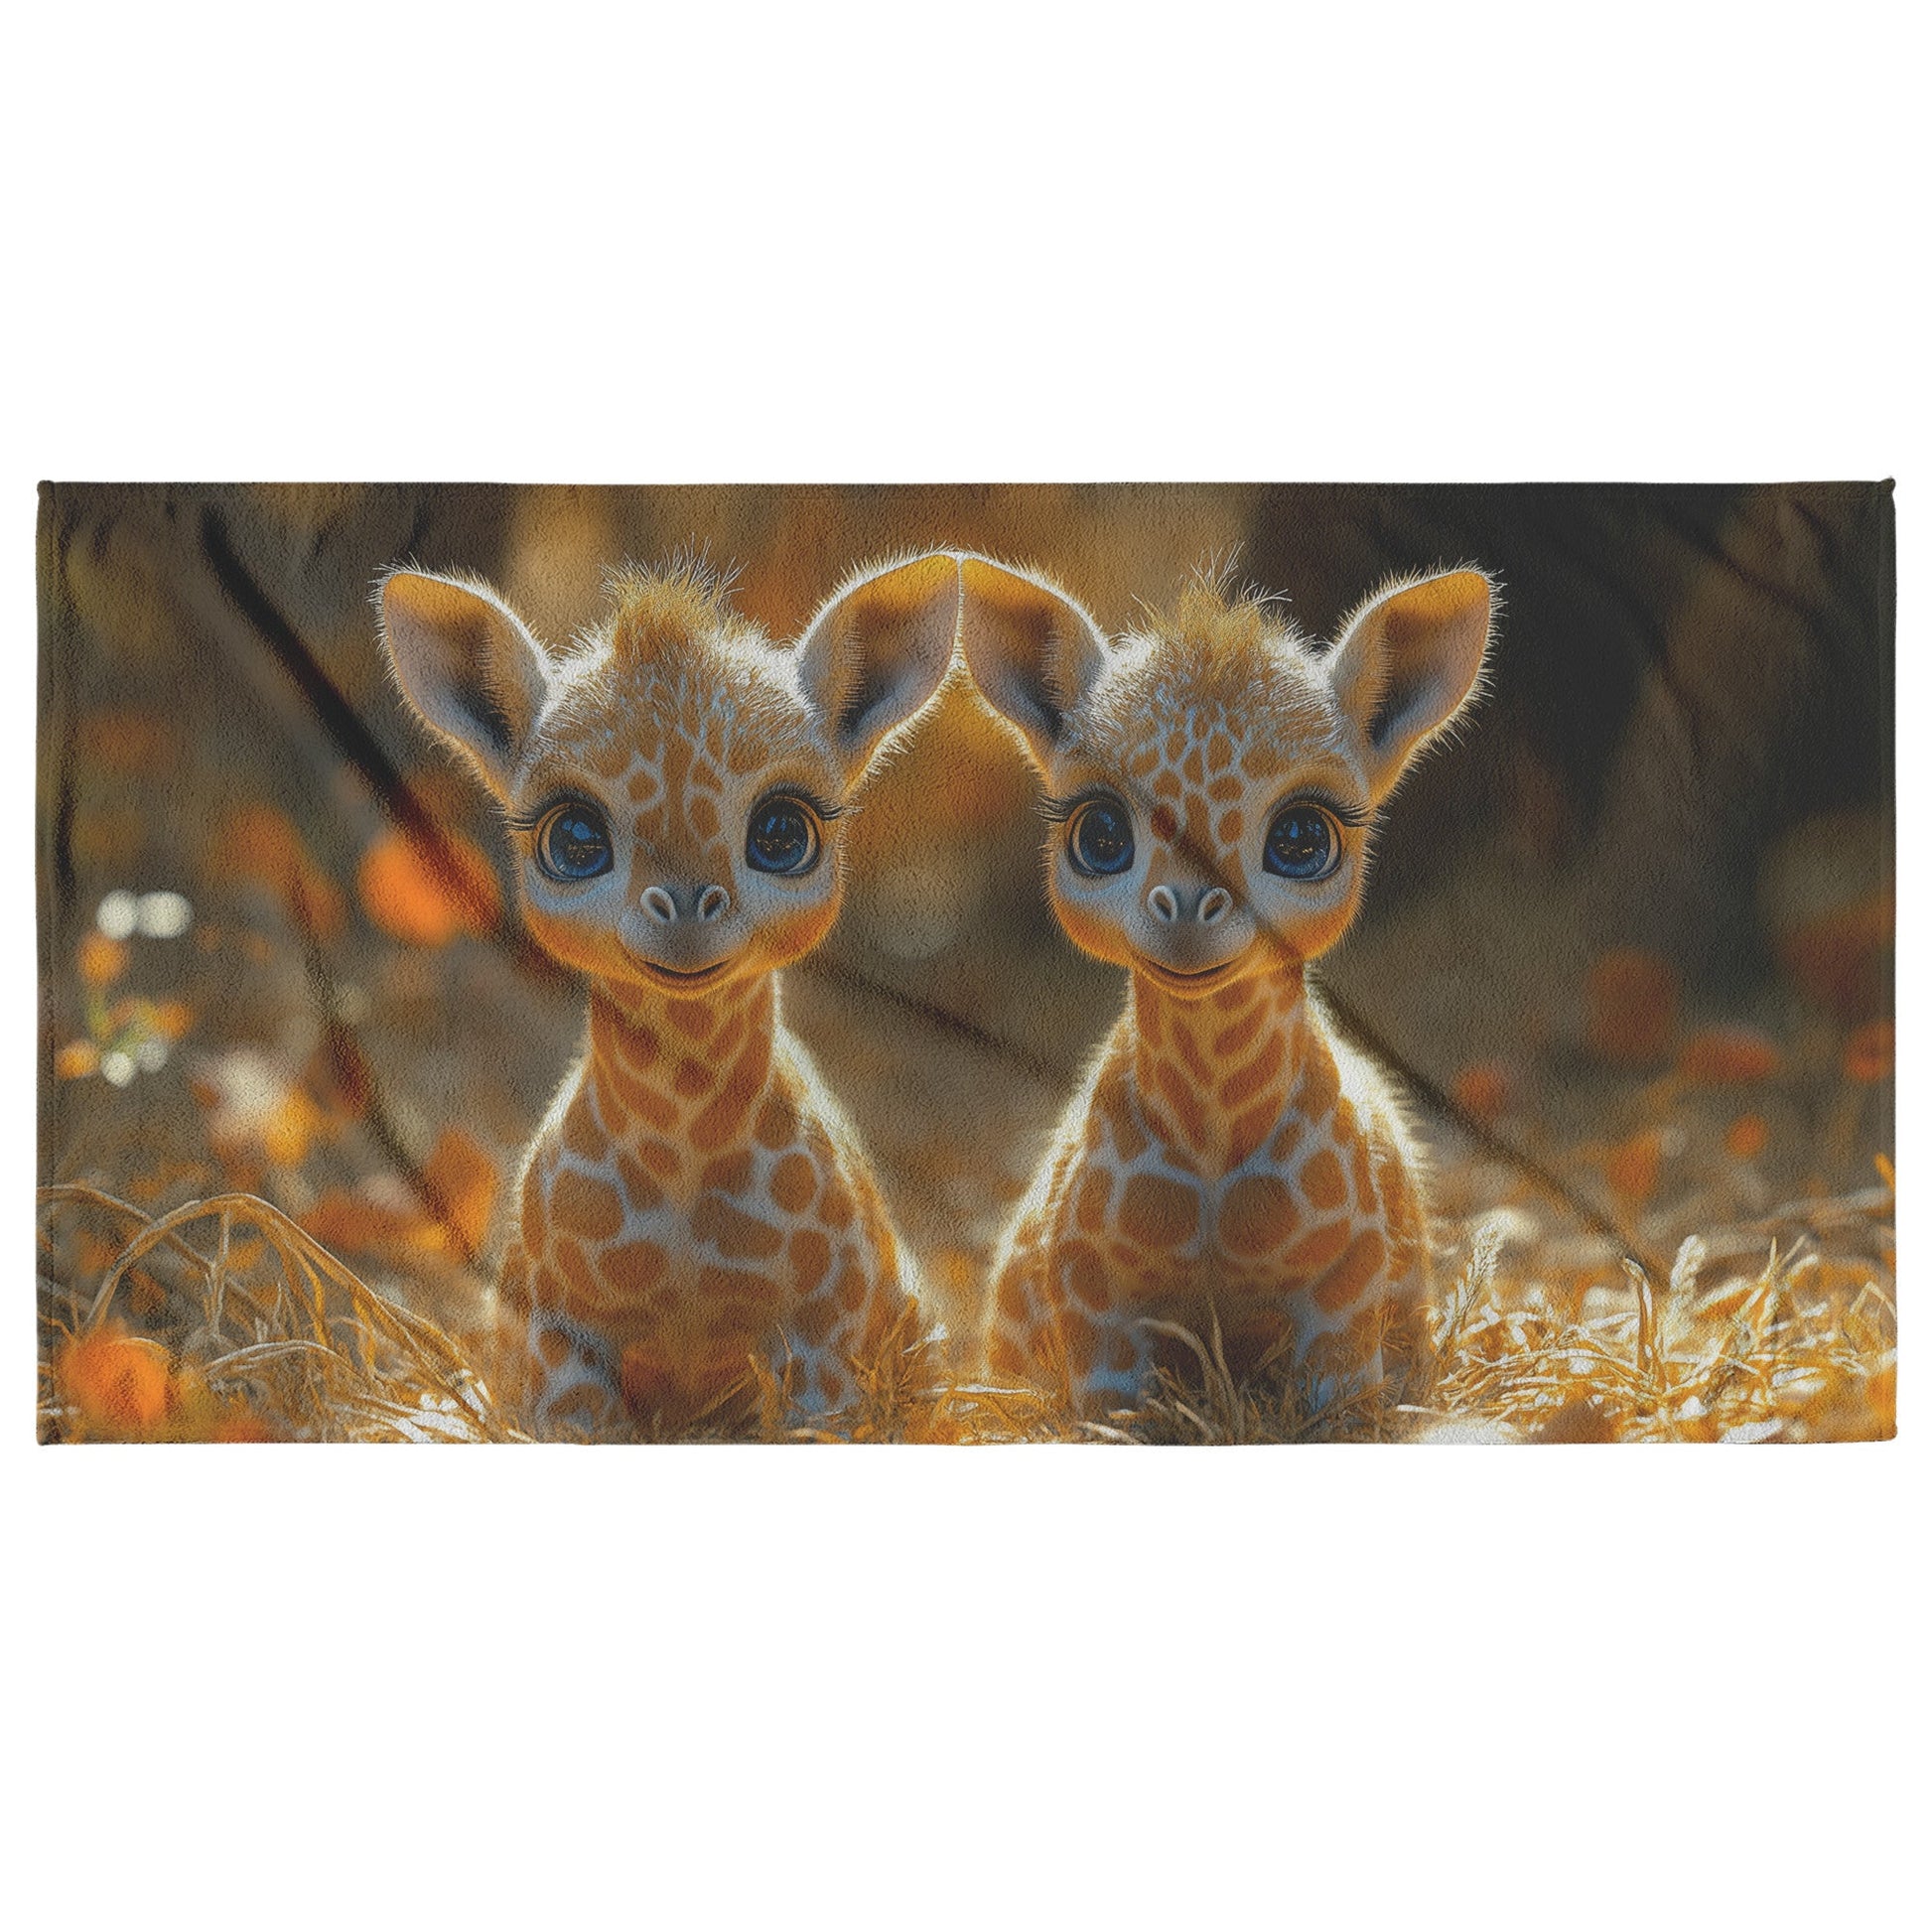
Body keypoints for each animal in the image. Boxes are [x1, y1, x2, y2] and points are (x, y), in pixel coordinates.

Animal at [378, 552, 962, 1437]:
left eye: (783, 831)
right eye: (573, 836)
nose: (686, 910)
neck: (683, 1170)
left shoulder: (826, 1329)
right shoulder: (552, 1330)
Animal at [956, 554, 1494, 1414]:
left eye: (1303, 837)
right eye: (1099, 832)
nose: (1184, 909)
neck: (1211, 1146)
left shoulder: (1345, 1278)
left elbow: (1340, 1402)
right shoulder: (1088, 1281)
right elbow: (1110, 1410)